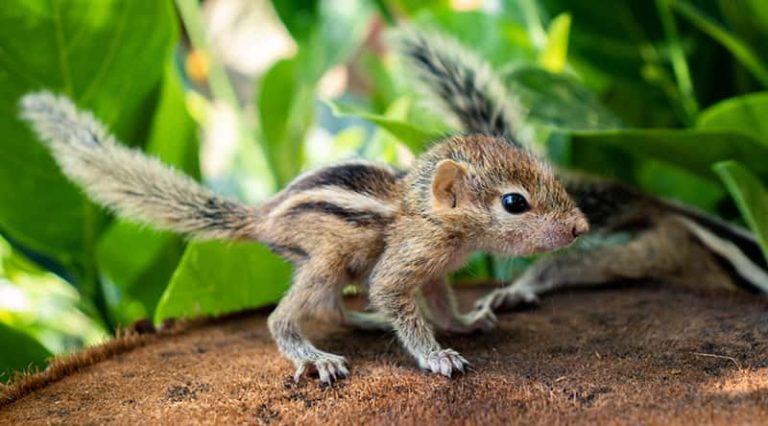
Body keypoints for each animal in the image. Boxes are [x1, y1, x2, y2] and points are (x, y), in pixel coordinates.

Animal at [19, 75, 587, 383]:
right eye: (514, 203)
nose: (581, 228)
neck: (424, 214)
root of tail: (263, 213)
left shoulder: (434, 273)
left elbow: (441, 305)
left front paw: (466, 322)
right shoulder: (405, 263)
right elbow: (396, 299)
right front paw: (437, 356)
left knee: (333, 307)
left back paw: (366, 323)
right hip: (328, 258)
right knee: (284, 317)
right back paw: (314, 356)